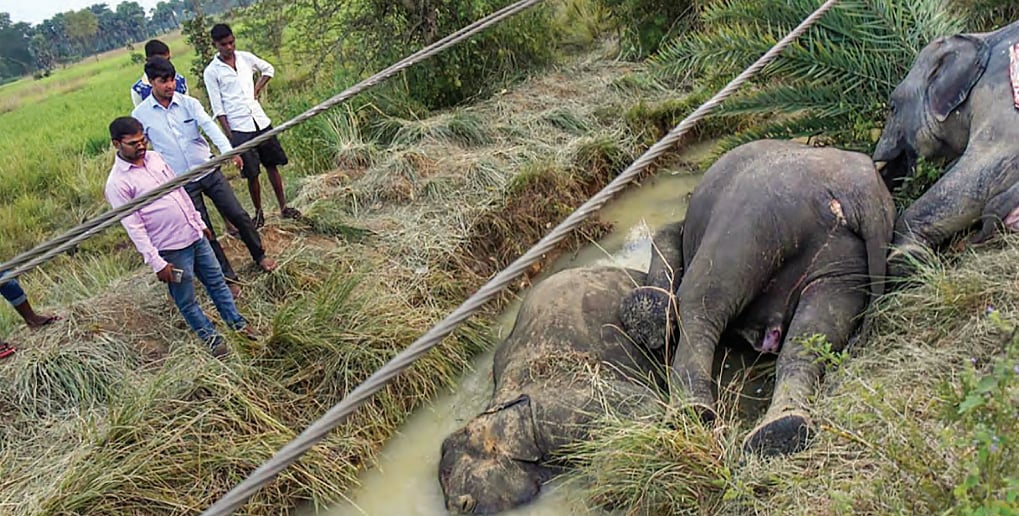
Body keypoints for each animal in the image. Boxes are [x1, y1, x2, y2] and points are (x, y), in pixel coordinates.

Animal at [619, 139, 895, 457]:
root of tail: (857, 189)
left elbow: (667, 236)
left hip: (751, 221)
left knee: (702, 301)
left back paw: (690, 414)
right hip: (840, 253)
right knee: (813, 332)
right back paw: (782, 430)